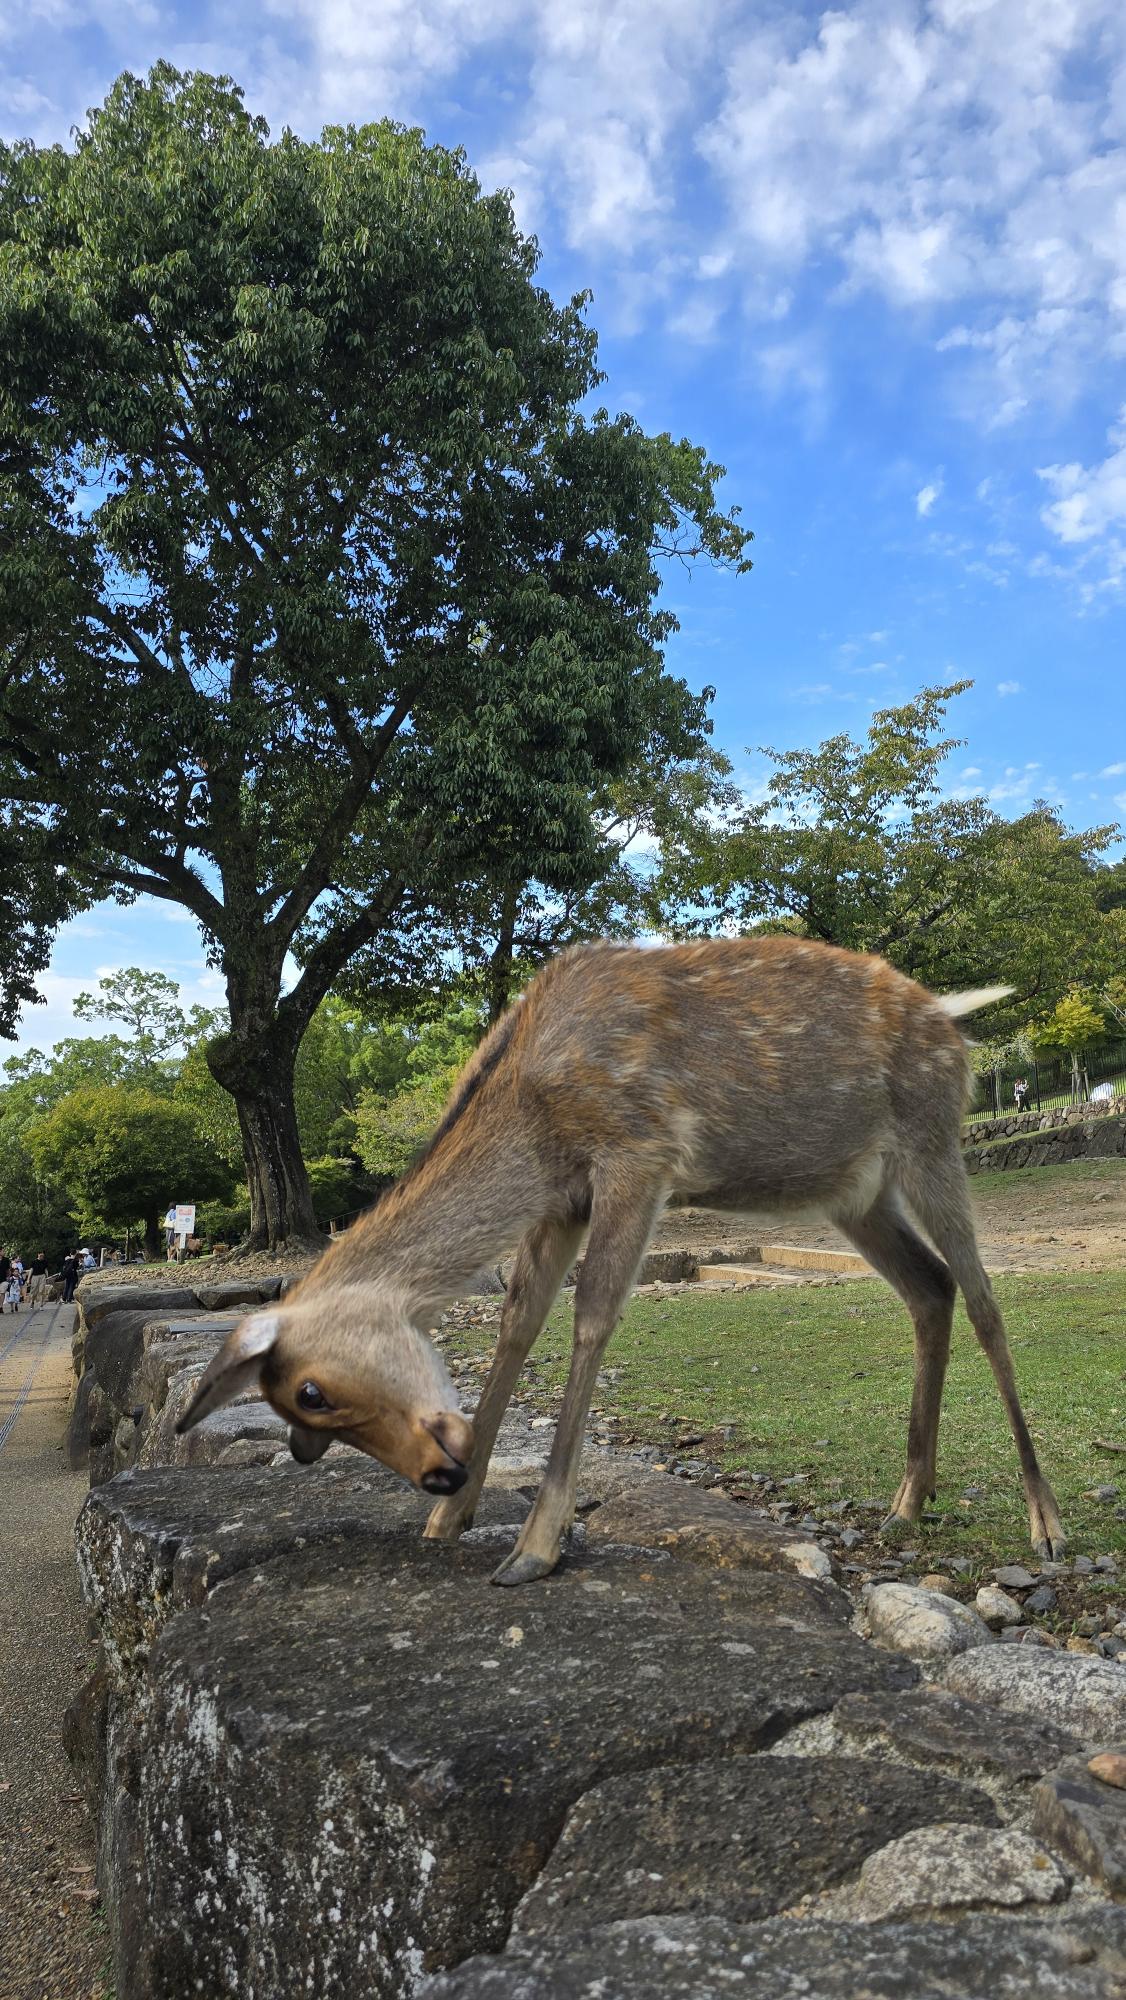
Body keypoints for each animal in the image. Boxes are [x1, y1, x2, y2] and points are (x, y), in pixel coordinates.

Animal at [176, 944, 1064, 1584]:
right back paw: (908, 1501)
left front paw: (535, 1546)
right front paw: (449, 1523)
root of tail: (955, 1021)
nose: (436, 1475)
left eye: (309, 1392)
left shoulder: (639, 1153)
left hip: (934, 1138)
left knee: (985, 1300)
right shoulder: (561, 1198)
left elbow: (593, 1315)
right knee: (930, 1287)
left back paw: (1044, 1523)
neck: (534, 1104)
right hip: (853, 1191)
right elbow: (517, 1321)